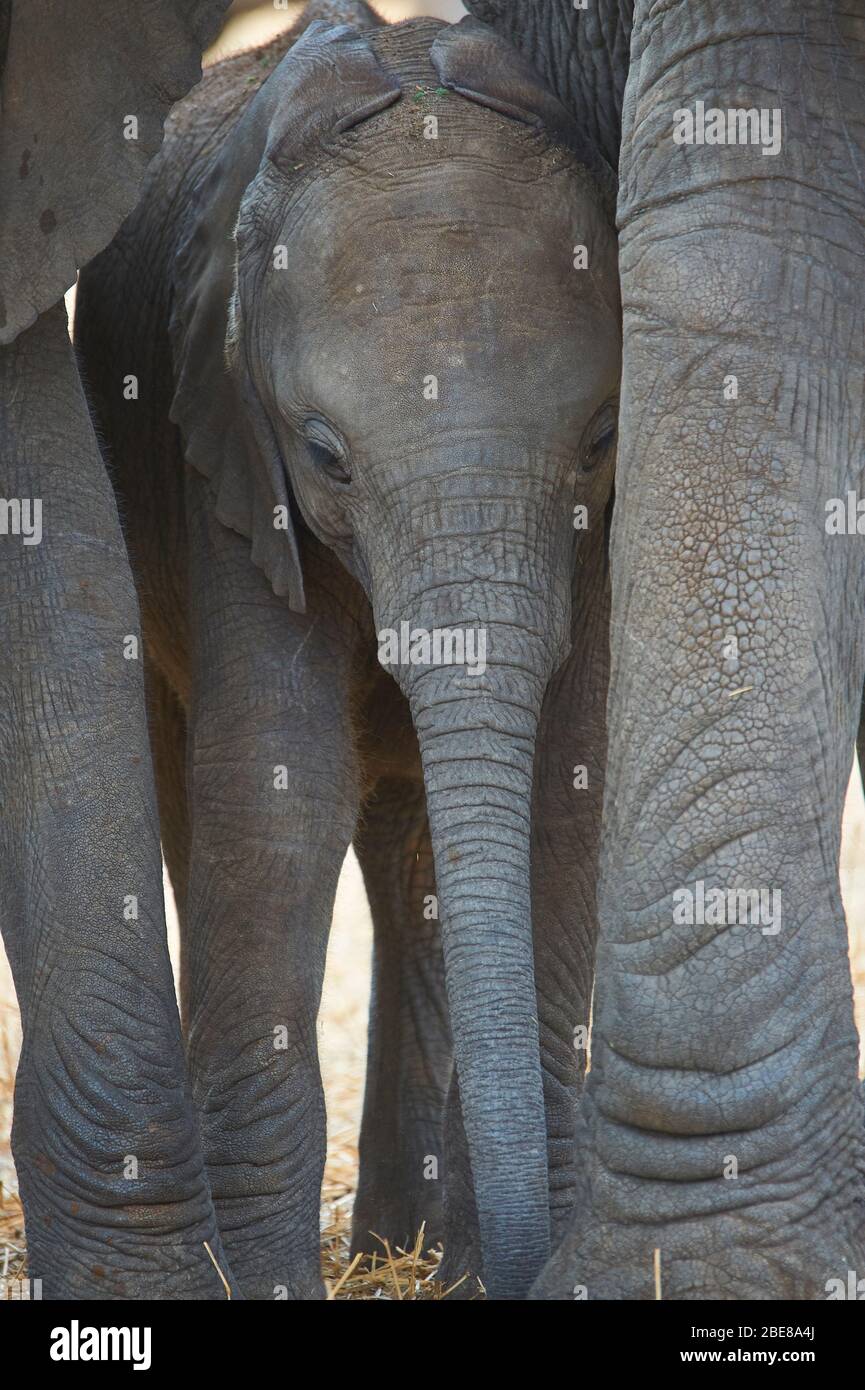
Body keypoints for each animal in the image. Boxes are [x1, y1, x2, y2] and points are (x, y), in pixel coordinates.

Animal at [74, 0, 621, 1299]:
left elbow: (570, 777)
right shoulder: (223, 454)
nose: (524, 1263)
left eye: (598, 441)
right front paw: (266, 1279)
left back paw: (402, 1250)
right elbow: (277, 788)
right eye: (325, 456)